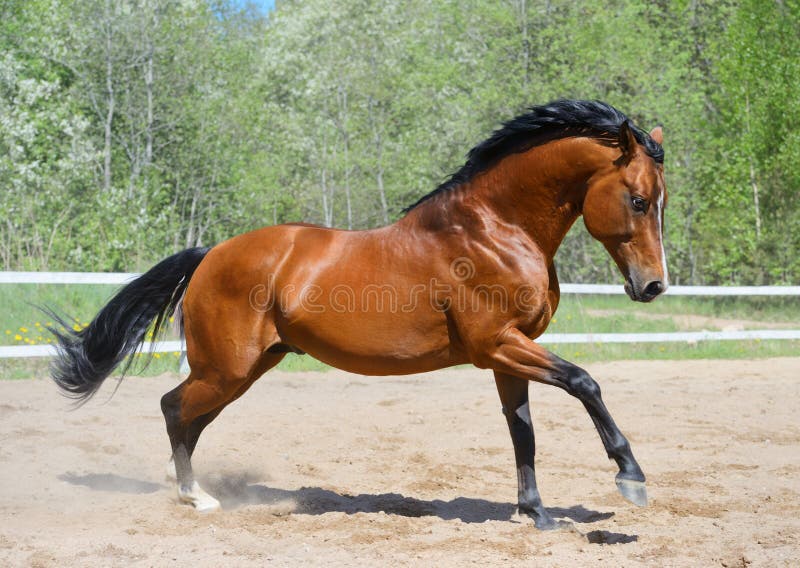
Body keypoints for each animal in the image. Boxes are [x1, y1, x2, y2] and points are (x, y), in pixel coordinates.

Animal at [49, 99, 667, 530]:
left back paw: (188, 487)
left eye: (661, 201)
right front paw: (630, 477)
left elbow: (523, 434)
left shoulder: (506, 356)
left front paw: (536, 514)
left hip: (246, 369)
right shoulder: (498, 344)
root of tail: (210, 253)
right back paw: (194, 496)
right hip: (225, 368)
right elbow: (584, 382)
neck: (495, 229)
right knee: (173, 408)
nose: (653, 285)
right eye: (638, 200)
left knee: (190, 418)